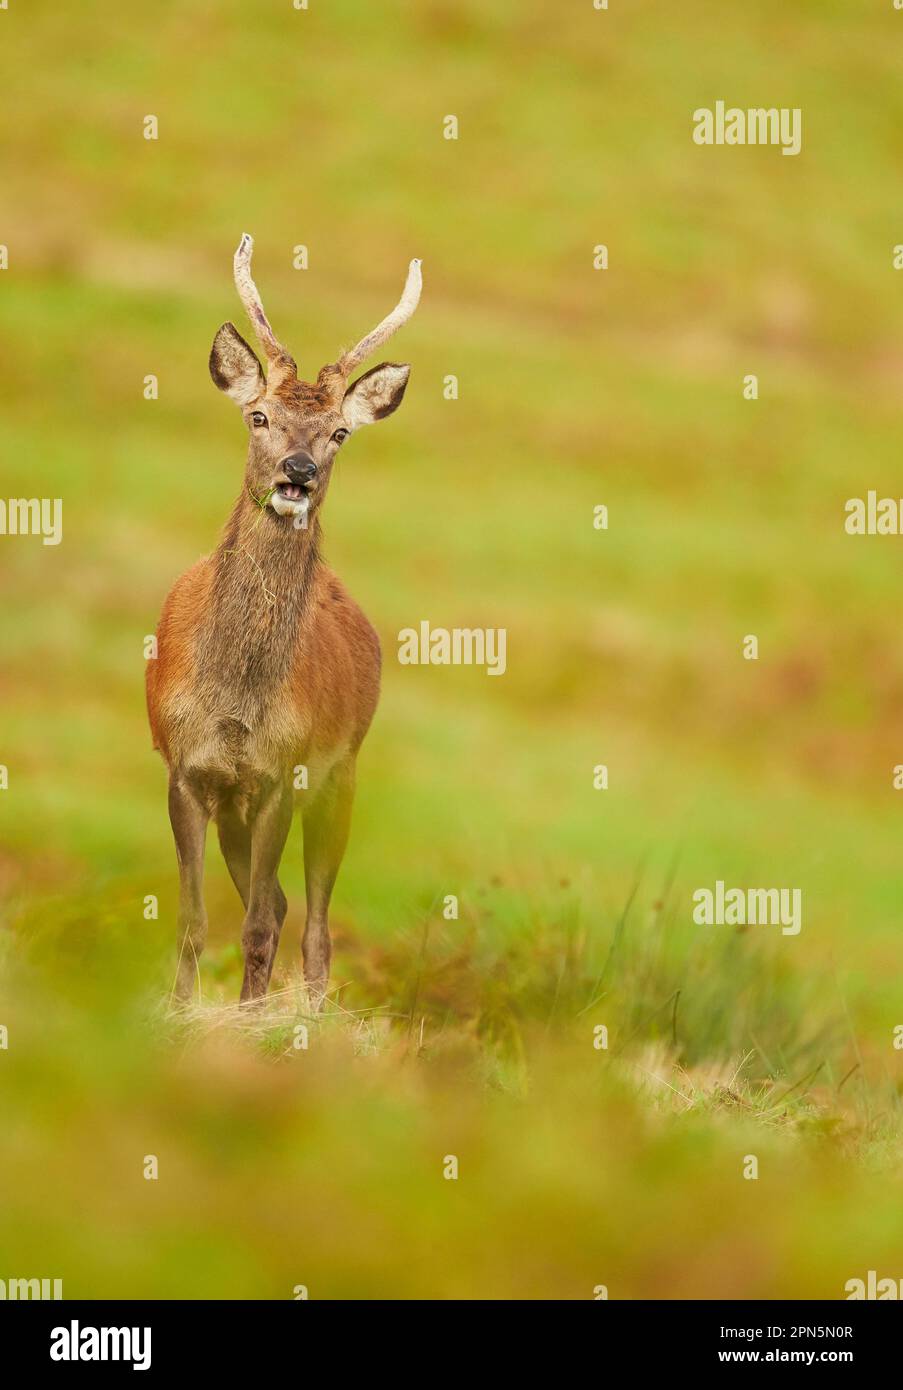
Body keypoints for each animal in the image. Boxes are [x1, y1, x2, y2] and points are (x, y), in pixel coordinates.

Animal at [146, 235, 421, 1007]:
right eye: (259, 416)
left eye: (339, 432)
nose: (297, 472)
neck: (236, 698)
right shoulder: (188, 768)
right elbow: (193, 919)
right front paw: (181, 1010)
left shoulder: (279, 774)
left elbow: (261, 927)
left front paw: (250, 1018)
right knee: (277, 900)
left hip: (341, 771)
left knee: (311, 921)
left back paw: (310, 1008)